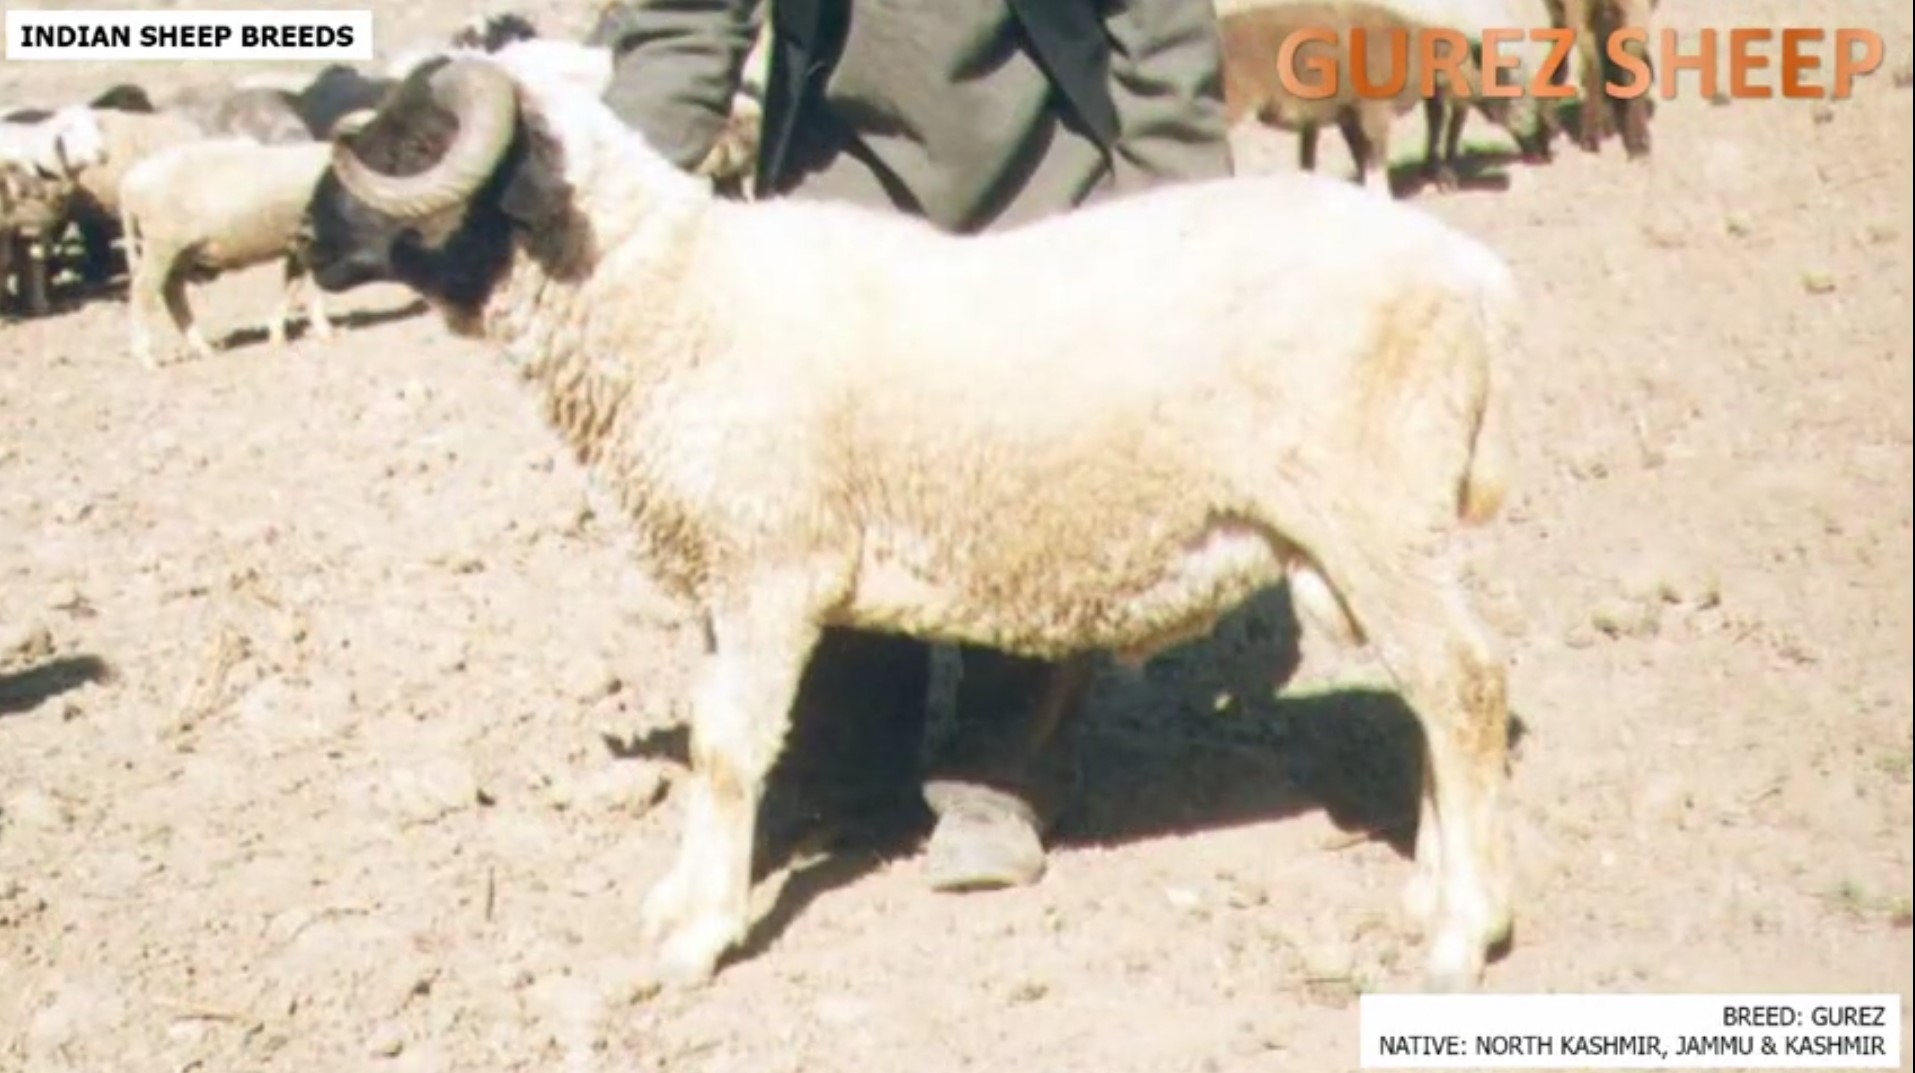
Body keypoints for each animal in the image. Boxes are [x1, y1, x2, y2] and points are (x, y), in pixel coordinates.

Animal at [118, 138, 335, 367]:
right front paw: (324, 331)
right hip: (162, 244)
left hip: (182, 251)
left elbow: (292, 283)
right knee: (143, 291)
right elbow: (310, 286)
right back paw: (146, 357)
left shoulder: (298, 243)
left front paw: (277, 335)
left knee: (172, 291)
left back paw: (203, 349)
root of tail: (128, 182)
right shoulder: (310, 241)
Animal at [304, 49, 1521, 993]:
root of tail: (1471, 271)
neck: (673, 303)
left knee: (1461, 686)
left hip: (1377, 513)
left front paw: (699, 939)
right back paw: (1433, 895)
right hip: (1375, 532)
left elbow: (729, 749)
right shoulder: (723, 575)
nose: (311, 235)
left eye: (415, 136)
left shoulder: (770, 567)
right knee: (1435, 690)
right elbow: (707, 740)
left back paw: (1464, 931)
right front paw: (680, 897)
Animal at [1220, 0, 1520, 195]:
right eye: (1493, 70)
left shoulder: (1349, 116)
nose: (1511, 112)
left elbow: (1361, 157)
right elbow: (1376, 162)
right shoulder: (1375, 112)